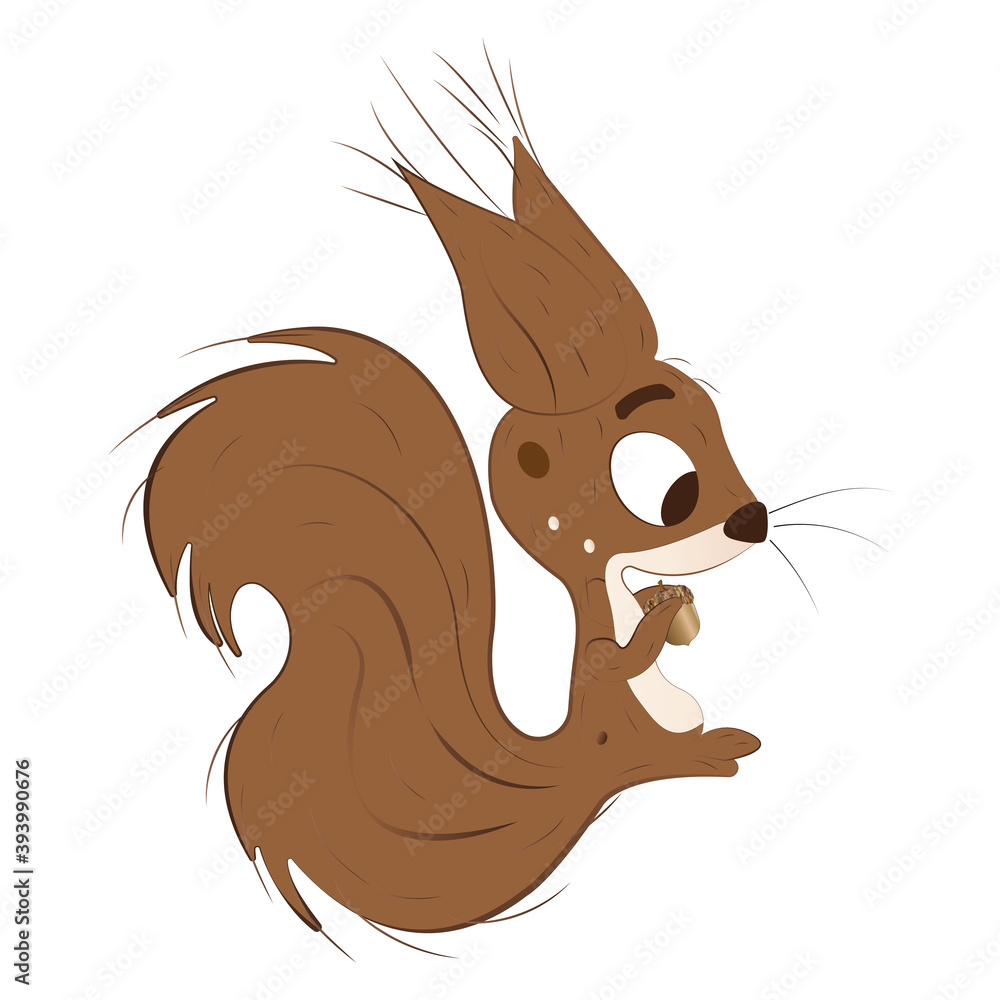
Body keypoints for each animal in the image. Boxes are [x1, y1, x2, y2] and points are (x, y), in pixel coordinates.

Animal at [137, 67, 768, 940]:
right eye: (672, 488)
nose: (756, 521)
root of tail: (575, 765)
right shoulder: (603, 666)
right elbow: (619, 656)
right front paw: (656, 620)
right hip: (627, 735)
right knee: (657, 756)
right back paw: (712, 750)